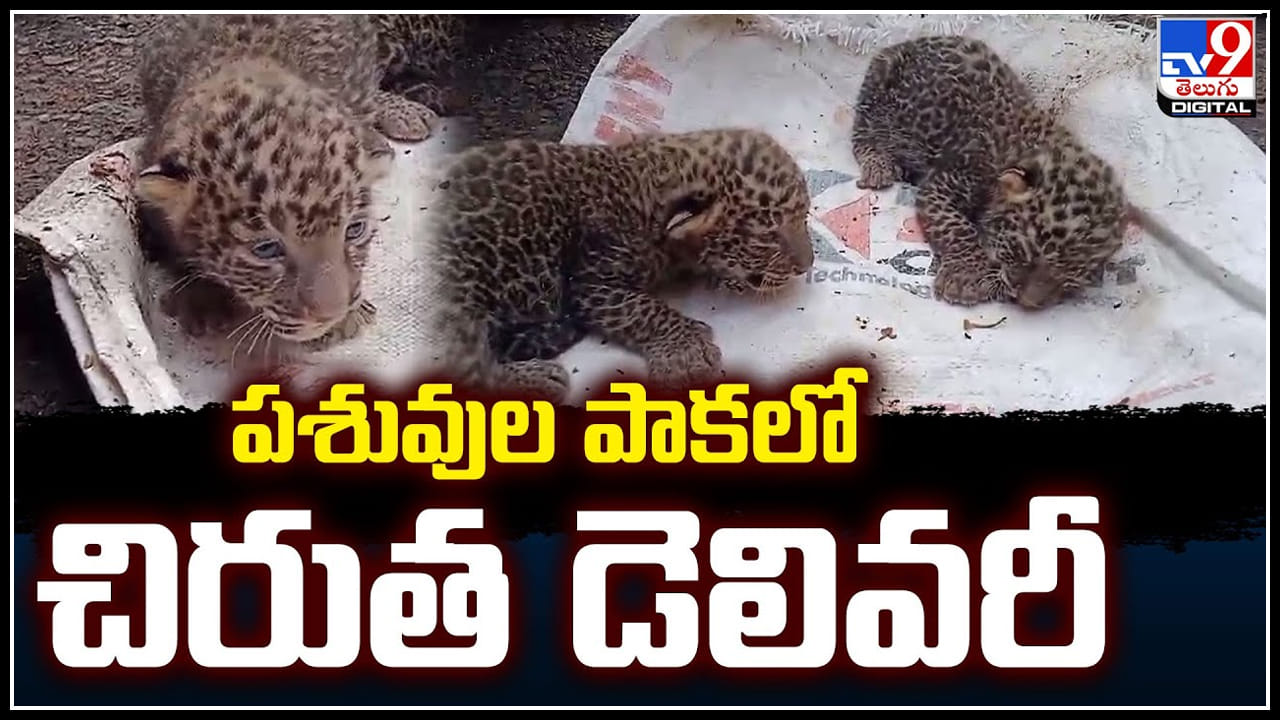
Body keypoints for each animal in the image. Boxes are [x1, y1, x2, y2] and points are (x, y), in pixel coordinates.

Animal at [430, 128, 816, 403]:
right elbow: (641, 310)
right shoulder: (593, 281)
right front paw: (688, 350)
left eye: (805, 218)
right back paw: (536, 379)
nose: (808, 265)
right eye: (768, 237)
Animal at [851, 35, 1128, 310]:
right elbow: (956, 226)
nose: (1027, 303)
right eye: (1024, 253)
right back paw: (878, 166)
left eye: (1070, 279)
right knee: (863, 132)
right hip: (879, 85)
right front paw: (967, 277)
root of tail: (911, 42)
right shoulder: (946, 184)